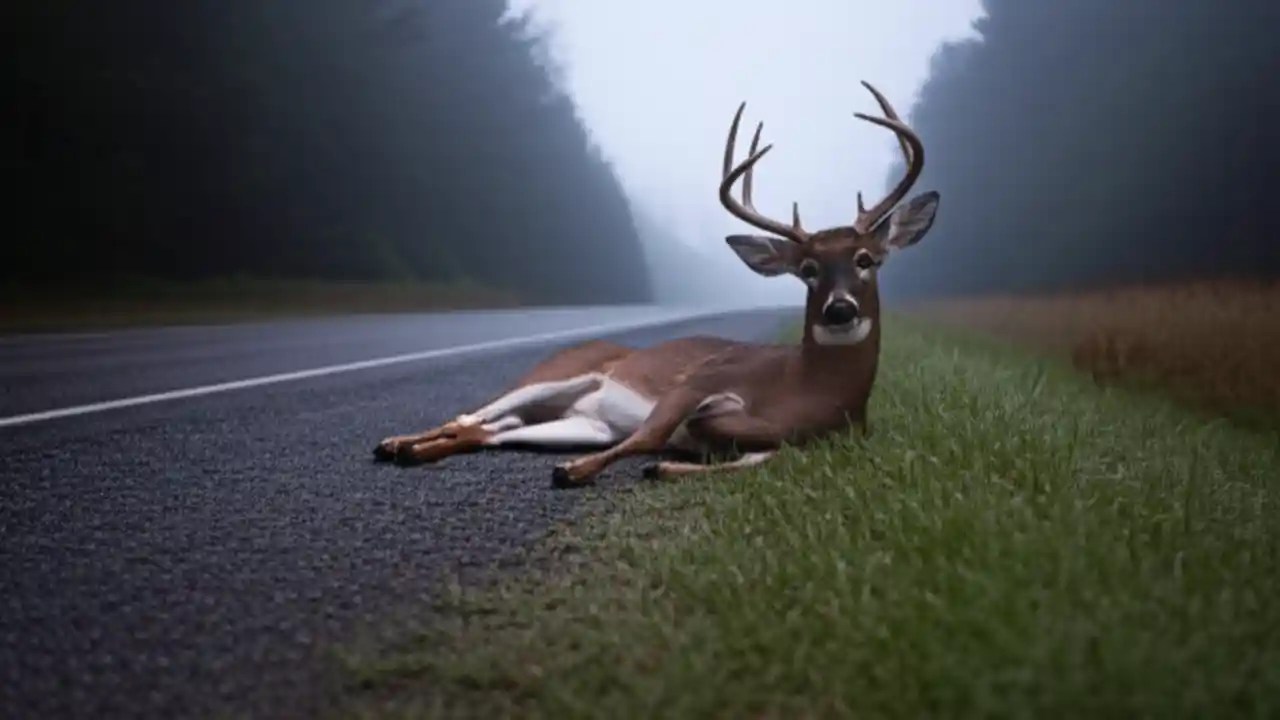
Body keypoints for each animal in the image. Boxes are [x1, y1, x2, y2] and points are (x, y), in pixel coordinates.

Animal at [373, 81, 940, 488]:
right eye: (808, 270)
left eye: (867, 259)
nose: (839, 309)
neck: (804, 391)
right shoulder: (698, 380)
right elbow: (652, 434)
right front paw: (575, 472)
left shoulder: (829, 437)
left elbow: (760, 457)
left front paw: (664, 468)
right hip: (554, 373)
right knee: (471, 414)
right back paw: (395, 443)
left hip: (581, 422)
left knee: (486, 431)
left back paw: (410, 452)